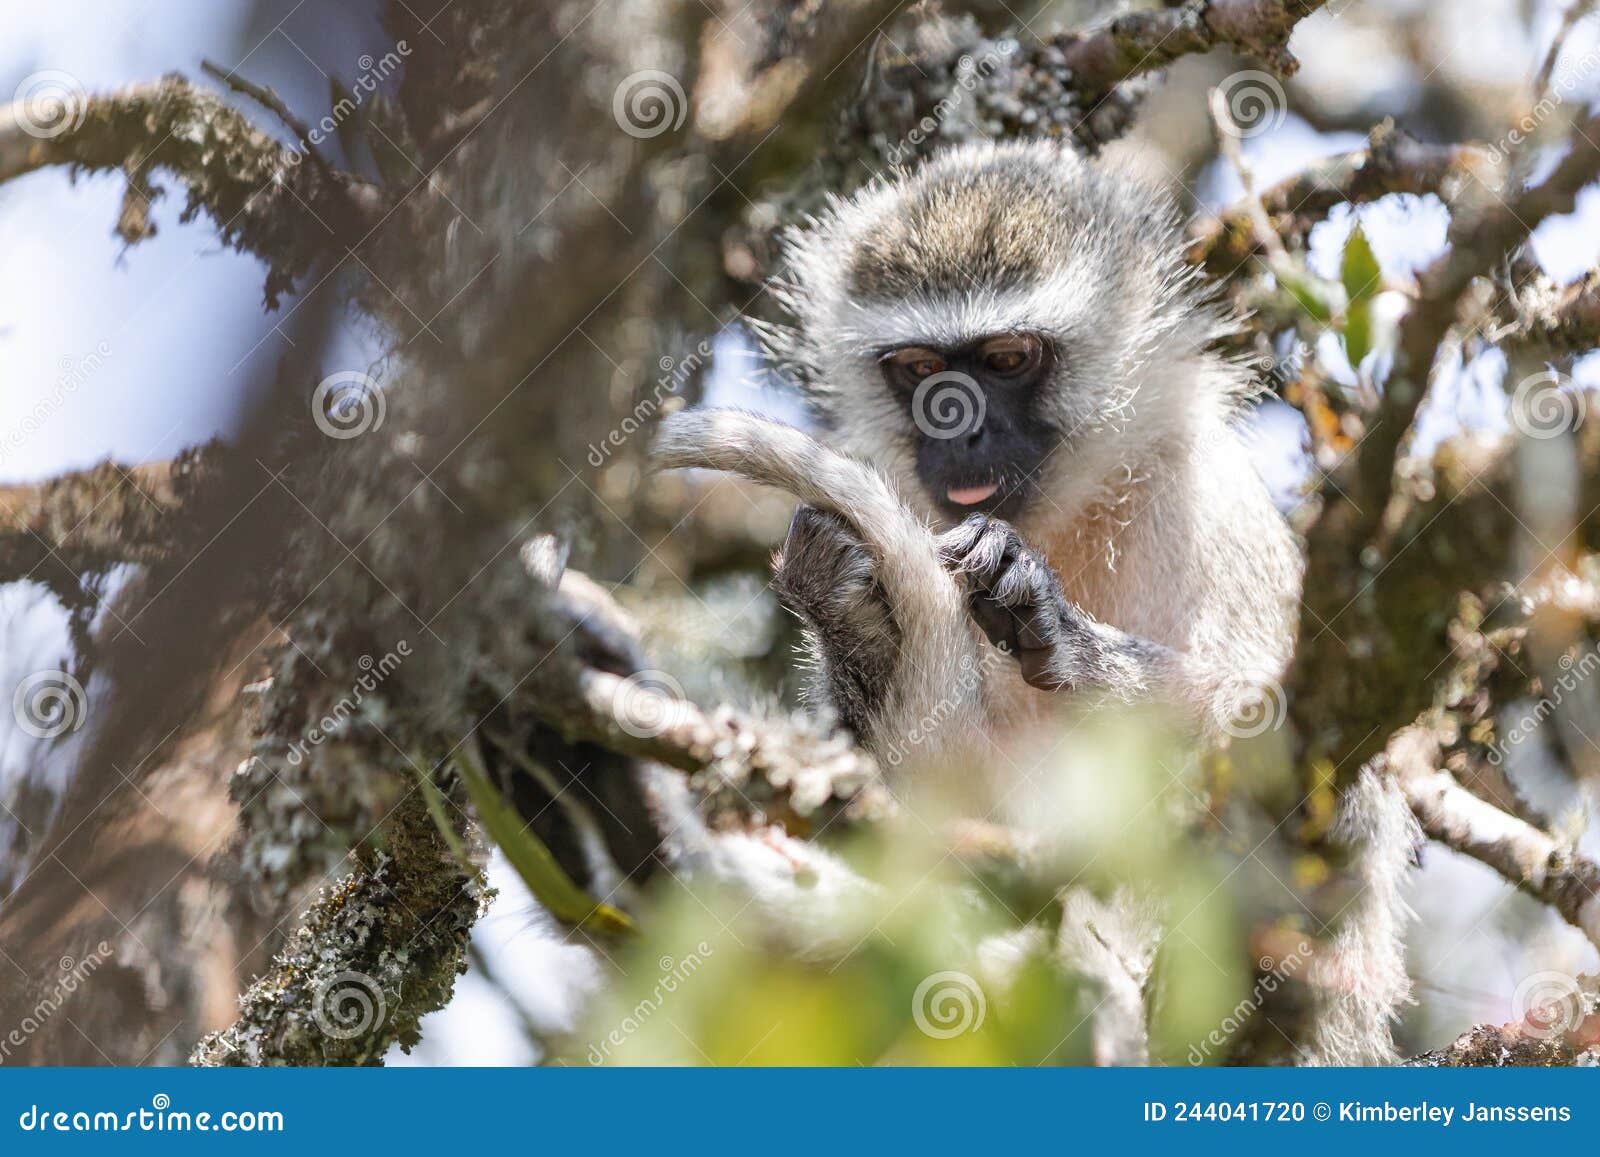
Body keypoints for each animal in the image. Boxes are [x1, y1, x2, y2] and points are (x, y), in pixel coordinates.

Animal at [653, 140, 1415, 1065]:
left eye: (1008, 359)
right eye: (918, 370)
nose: (957, 425)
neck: (1076, 513)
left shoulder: (1216, 504)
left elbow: (1301, 735)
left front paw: (1062, 631)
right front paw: (840, 597)